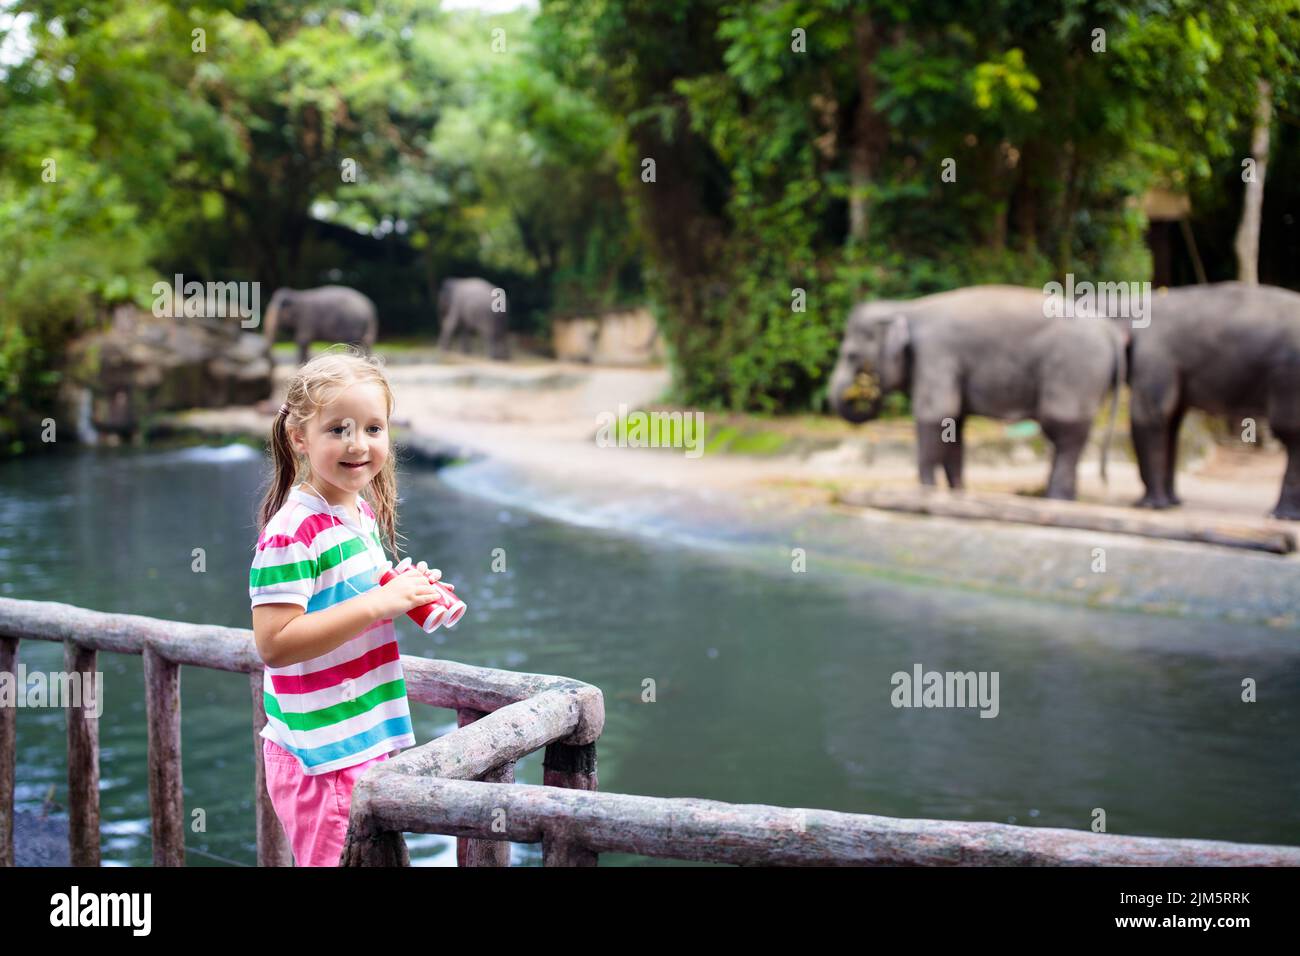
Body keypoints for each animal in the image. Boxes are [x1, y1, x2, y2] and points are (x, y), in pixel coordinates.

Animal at [828, 285, 1126, 500]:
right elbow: (953, 425)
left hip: (1075, 371)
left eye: (851, 356)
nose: (862, 392)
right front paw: (957, 492)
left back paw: (1056, 498)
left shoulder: (935, 354)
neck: (907, 307)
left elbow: (936, 414)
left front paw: (926, 491)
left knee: (1063, 431)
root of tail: (1109, 330)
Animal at [1125, 281, 1300, 519]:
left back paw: (1282, 515)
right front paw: (1172, 503)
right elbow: (1171, 422)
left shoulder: (1154, 357)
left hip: (1288, 375)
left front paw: (1151, 506)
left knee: (1290, 432)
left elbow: (1150, 416)